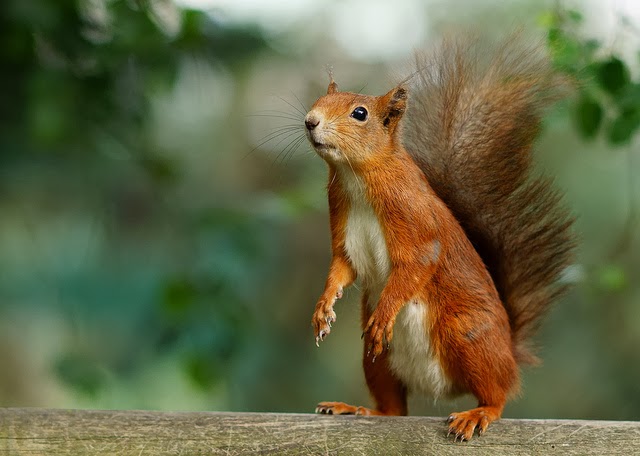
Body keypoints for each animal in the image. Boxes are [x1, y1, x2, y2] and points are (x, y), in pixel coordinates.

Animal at [302, 36, 575, 442]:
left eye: (360, 113)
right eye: (319, 100)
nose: (310, 121)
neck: (358, 176)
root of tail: (509, 352)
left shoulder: (415, 221)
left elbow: (415, 266)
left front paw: (385, 309)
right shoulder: (343, 219)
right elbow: (342, 266)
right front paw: (323, 308)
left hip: (468, 335)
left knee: (498, 394)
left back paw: (478, 413)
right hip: (378, 362)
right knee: (394, 409)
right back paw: (357, 409)